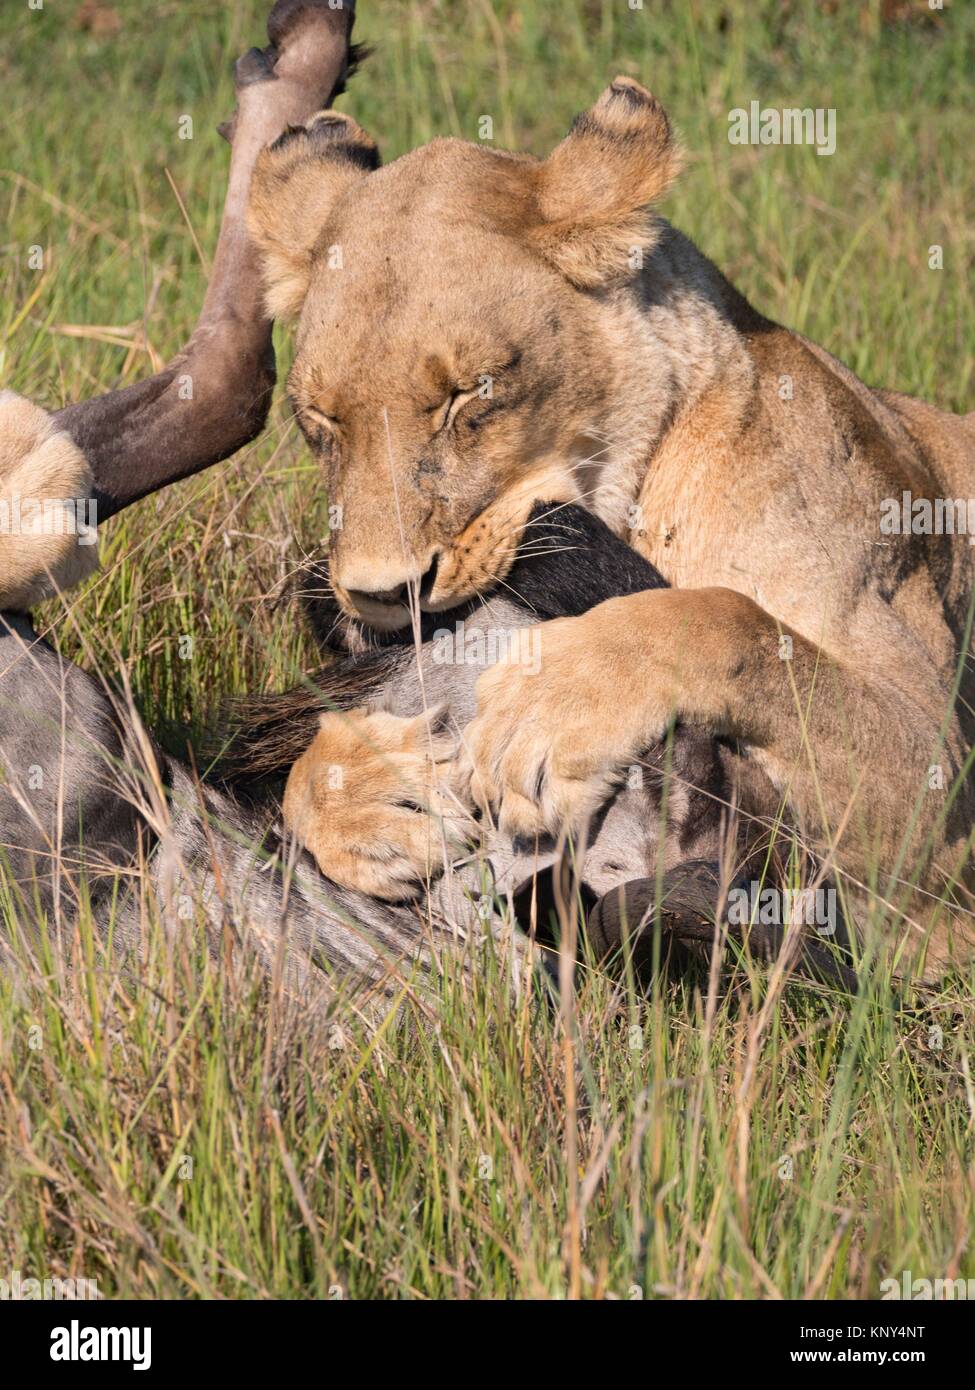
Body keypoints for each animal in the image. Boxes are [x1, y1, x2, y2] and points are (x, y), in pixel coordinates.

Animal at [246, 82, 975, 980]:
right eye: (319, 417)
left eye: (468, 394)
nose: (382, 595)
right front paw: (370, 794)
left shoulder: (939, 780)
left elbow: (726, 615)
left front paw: (548, 710)